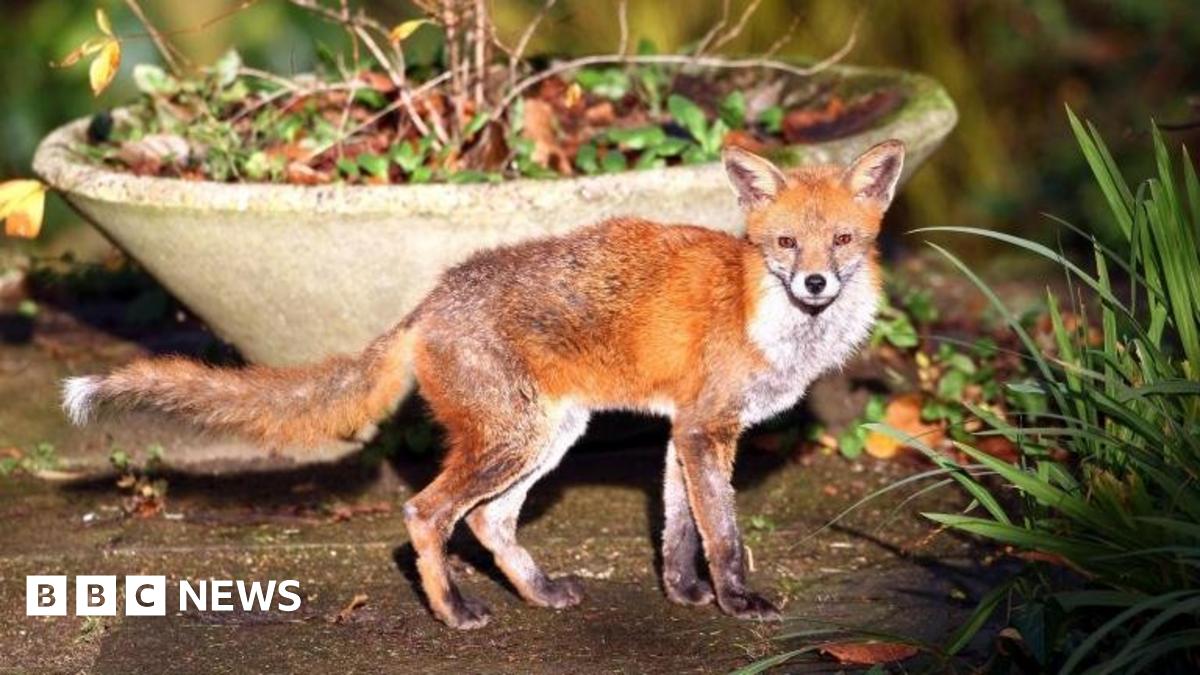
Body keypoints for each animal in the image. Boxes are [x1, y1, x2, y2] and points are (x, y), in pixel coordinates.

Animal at [61, 140, 905, 629]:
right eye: (785, 243)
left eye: (844, 240)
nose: (818, 283)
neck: (764, 310)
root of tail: (429, 300)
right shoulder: (706, 429)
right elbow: (724, 533)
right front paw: (736, 602)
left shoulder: (684, 429)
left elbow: (678, 530)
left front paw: (683, 594)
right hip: (515, 438)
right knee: (428, 512)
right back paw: (456, 612)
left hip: (547, 437)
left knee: (490, 522)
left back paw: (538, 593)